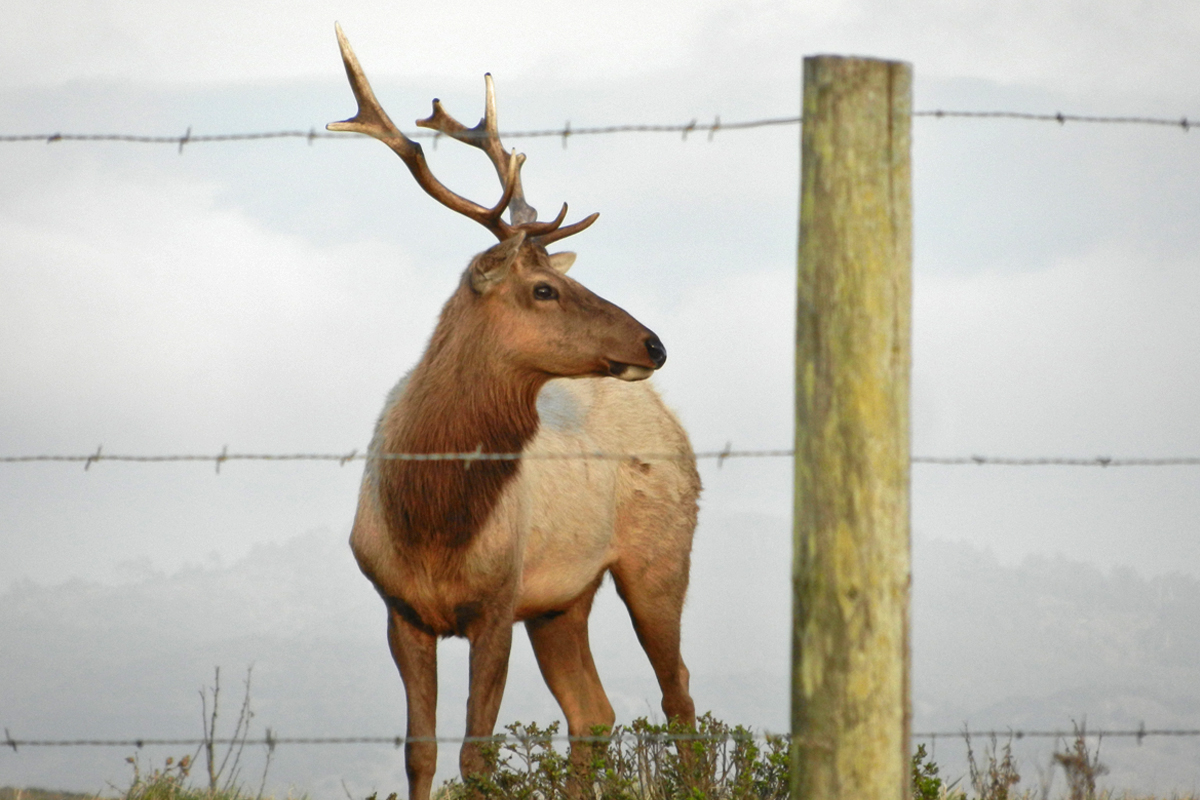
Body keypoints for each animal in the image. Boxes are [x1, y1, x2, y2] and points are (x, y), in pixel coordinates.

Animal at [327, 24, 700, 800]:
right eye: (544, 289)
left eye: (563, 276)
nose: (653, 342)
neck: (431, 518)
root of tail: (672, 422)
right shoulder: (399, 608)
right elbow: (420, 753)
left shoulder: (498, 600)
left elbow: (478, 755)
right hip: (563, 599)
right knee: (594, 711)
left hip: (659, 558)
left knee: (679, 696)